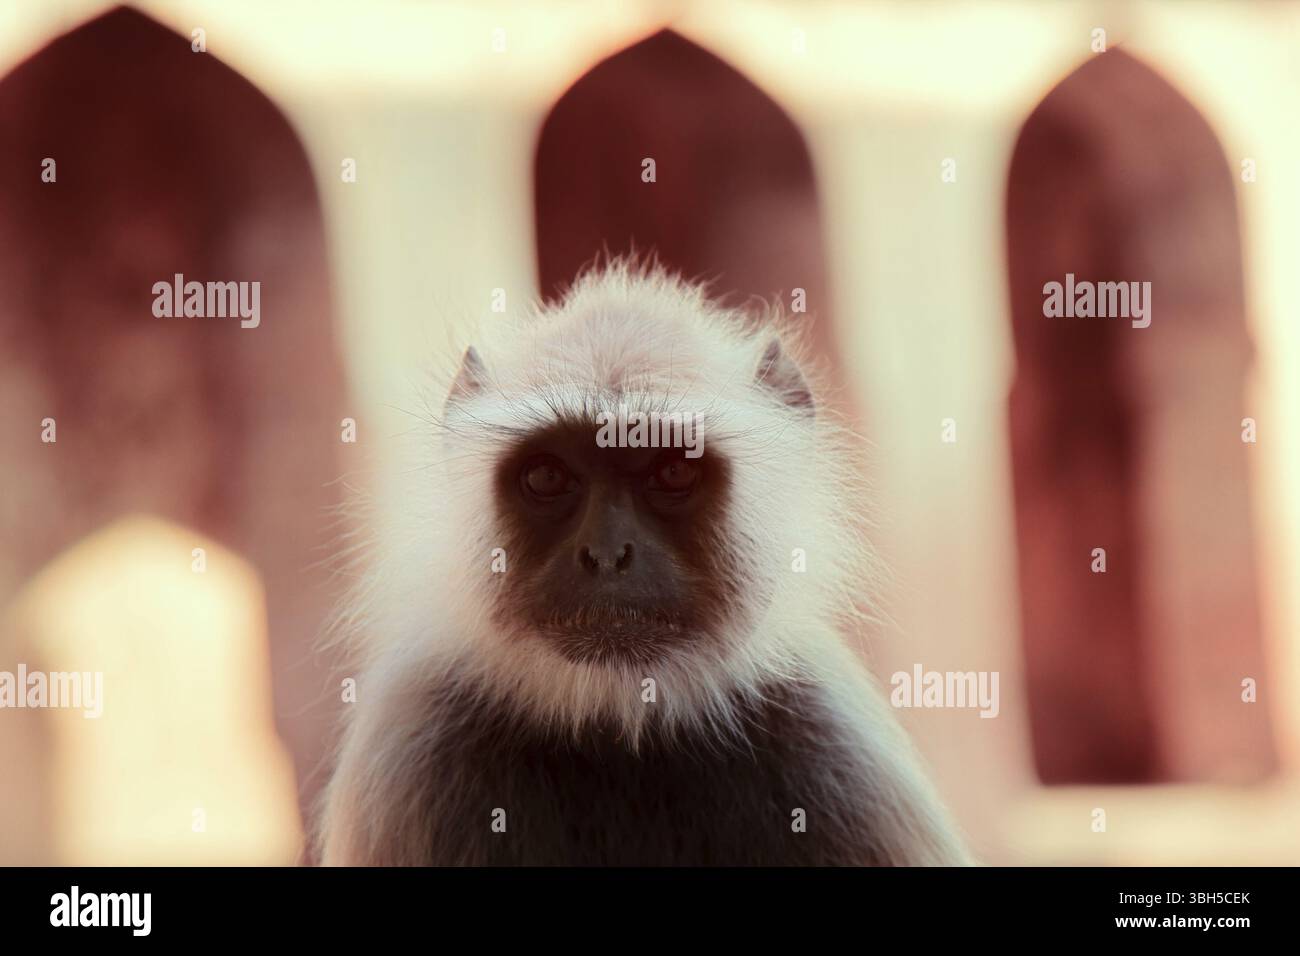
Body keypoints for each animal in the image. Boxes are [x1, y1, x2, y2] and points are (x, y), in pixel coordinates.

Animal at [318, 260, 972, 866]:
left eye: (674, 470)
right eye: (547, 476)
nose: (607, 555)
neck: (619, 725)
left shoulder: (844, 752)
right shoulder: (407, 751)